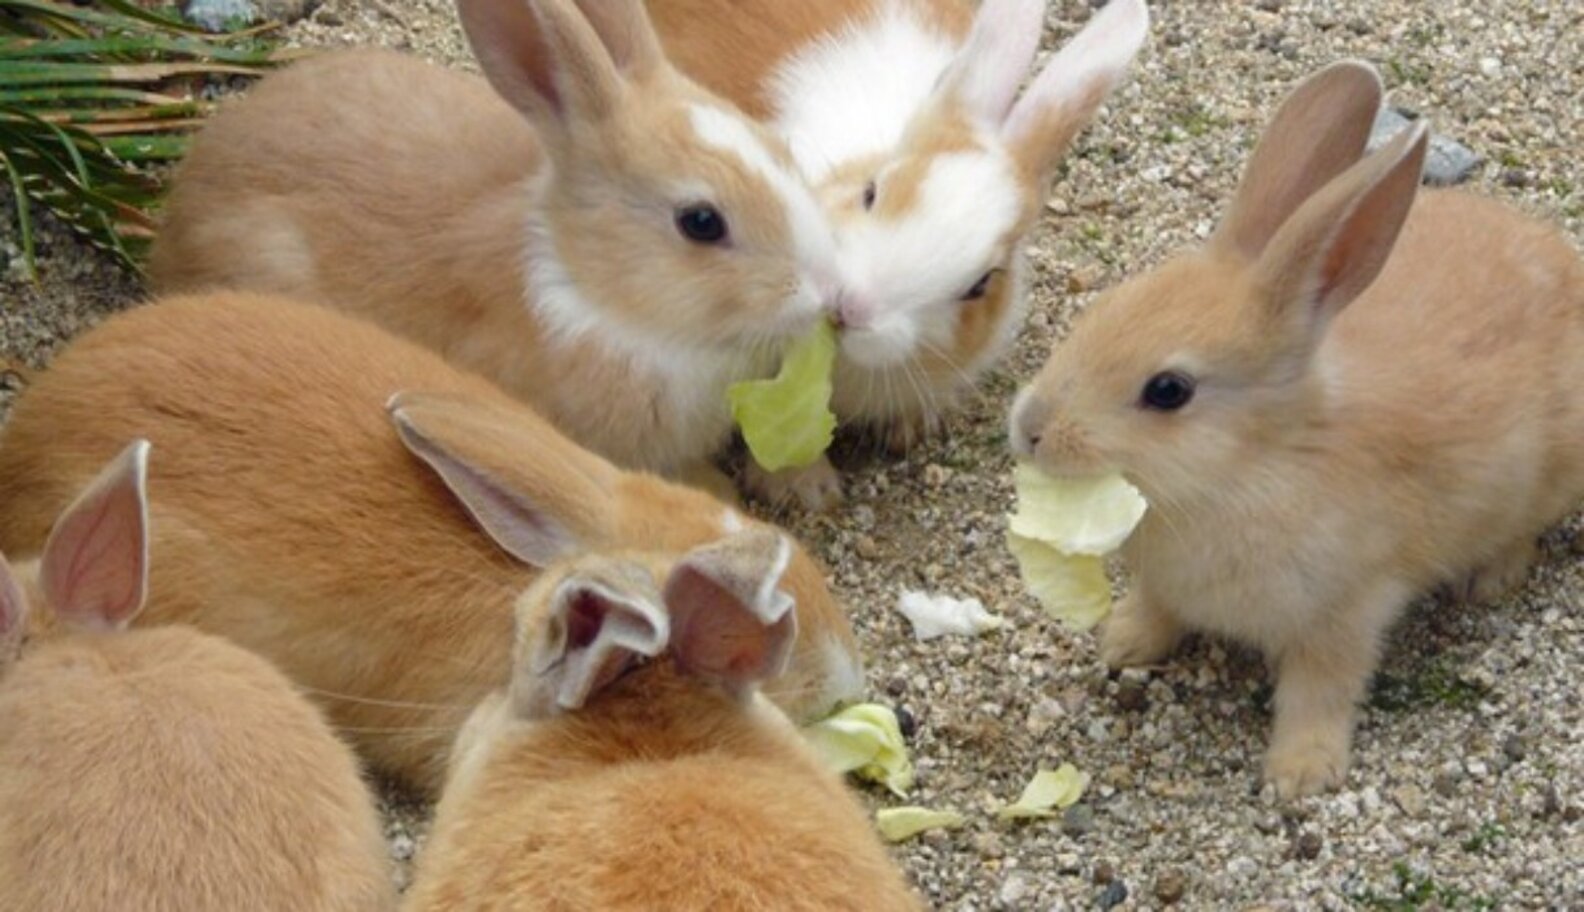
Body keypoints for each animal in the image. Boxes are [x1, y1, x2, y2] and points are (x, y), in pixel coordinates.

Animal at [1007, 60, 1584, 798]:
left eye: (1168, 391)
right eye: (1102, 308)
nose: (1030, 429)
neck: (1256, 465)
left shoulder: (1346, 611)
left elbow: (1321, 689)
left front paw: (1299, 775)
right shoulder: (1171, 586)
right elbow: (1159, 609)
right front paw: (1123, 640)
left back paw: (1493, 578)